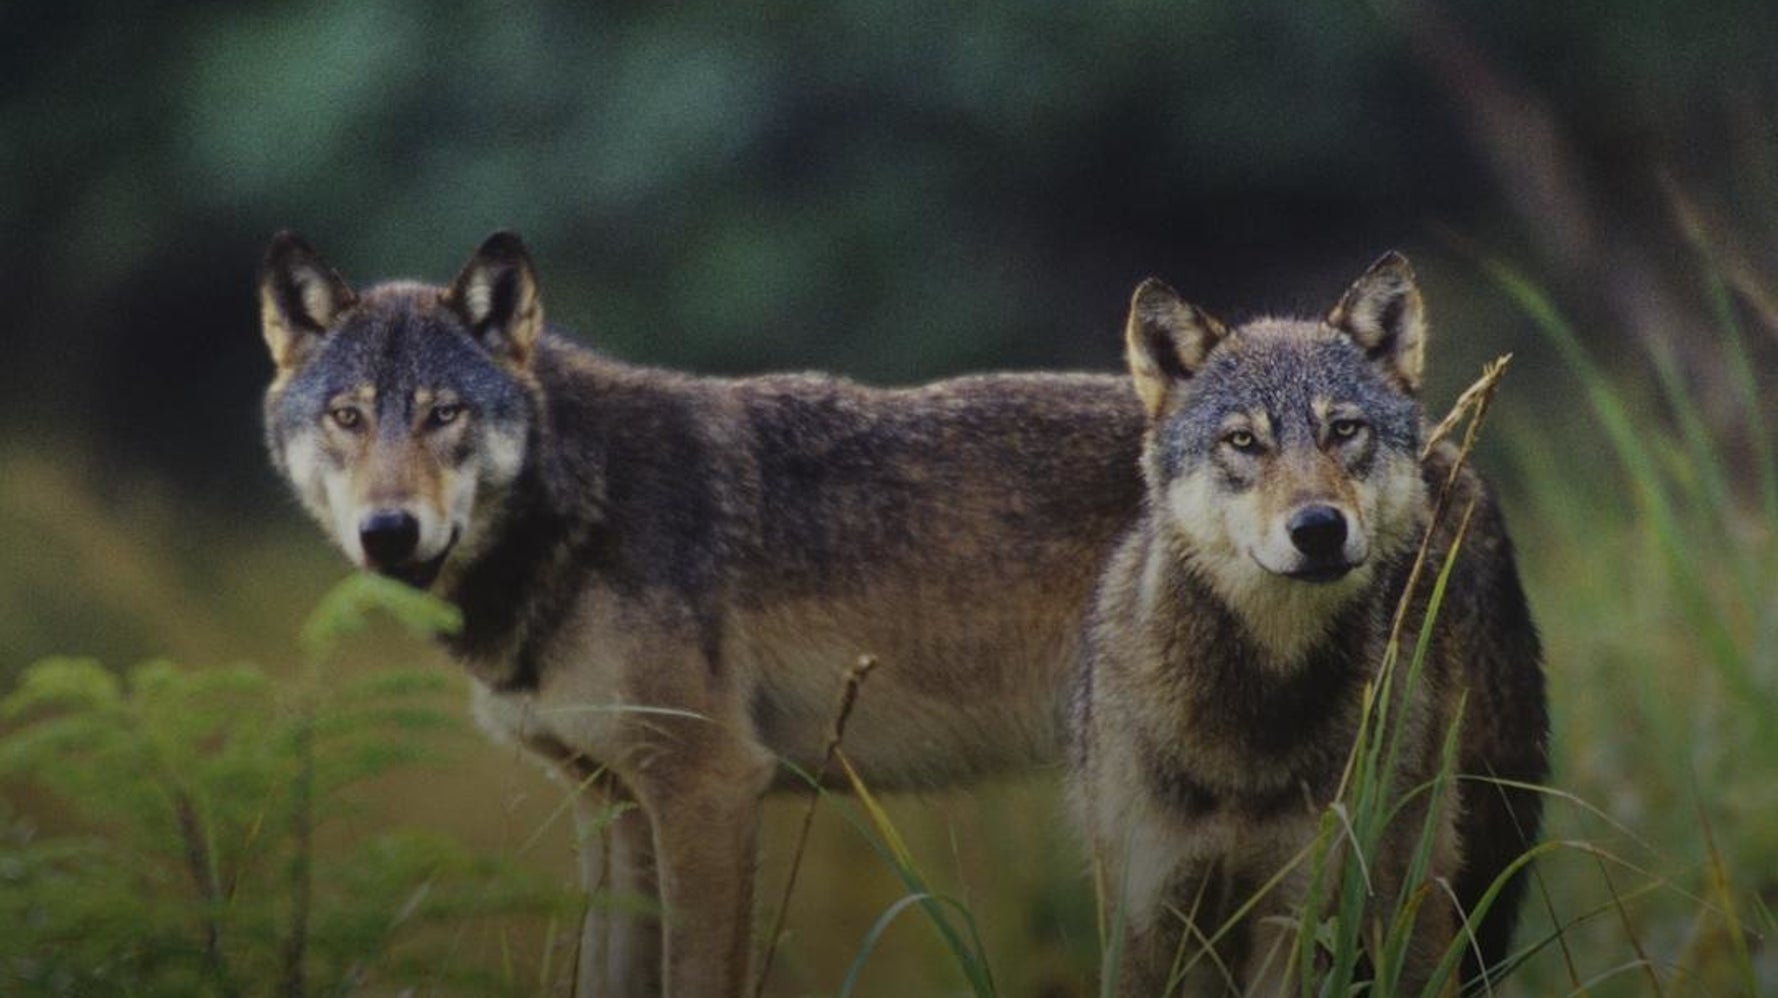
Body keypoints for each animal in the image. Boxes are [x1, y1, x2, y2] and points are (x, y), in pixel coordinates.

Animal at [257, 231, 1148, 996]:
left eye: (444, 414)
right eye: (348, 416)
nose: (388, 530)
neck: (584, 512)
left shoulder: (708, 788)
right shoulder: (610, 805)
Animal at [1069, 255, 1548, 995]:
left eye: (1343, 430)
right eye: (1243, 440)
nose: (1319, 528)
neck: (1249, 727)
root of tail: (1454, 462)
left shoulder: (1298, 911)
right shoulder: (1150, 919)